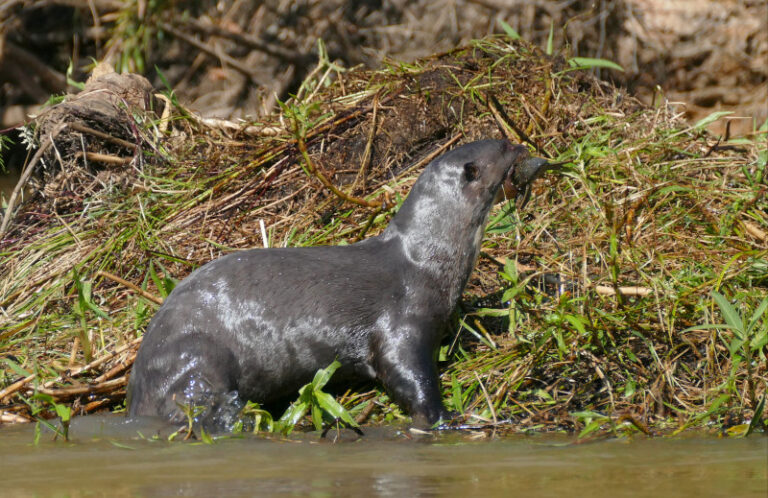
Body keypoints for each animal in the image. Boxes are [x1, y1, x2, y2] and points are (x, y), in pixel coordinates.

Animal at [127, 139, 544, 430]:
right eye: (503, 147)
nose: (521, 144)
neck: (429, 260)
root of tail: (138, 383)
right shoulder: (403, 321)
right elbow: (406, 375)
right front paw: (449, 419)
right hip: (197, 354)